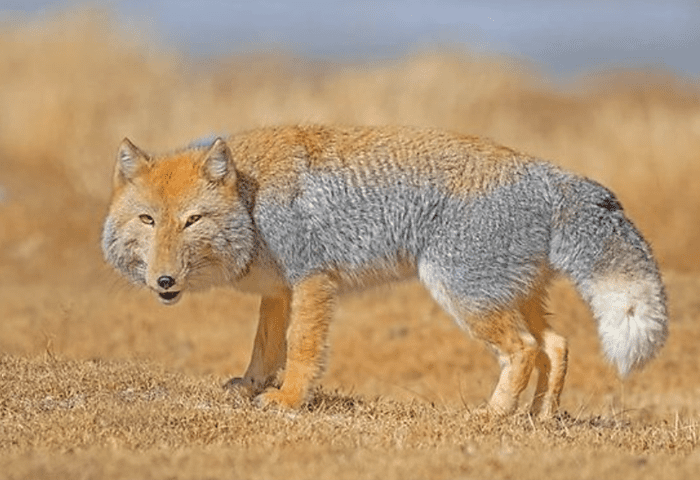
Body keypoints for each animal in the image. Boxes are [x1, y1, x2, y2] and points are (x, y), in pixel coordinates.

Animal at [102, 125, 668, 417]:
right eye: (148, 220)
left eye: (192, 220)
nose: (164, 281)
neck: (251, 199)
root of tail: (551, 175)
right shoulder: (279, 290)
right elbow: (264, 347)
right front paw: (249, 388)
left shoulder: (312, 279)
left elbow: (301, 349)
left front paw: (289, 400)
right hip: (509, 295)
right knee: (557, 344)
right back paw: (538, 417)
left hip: (463, 295)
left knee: (526, 349)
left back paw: (492, 416)